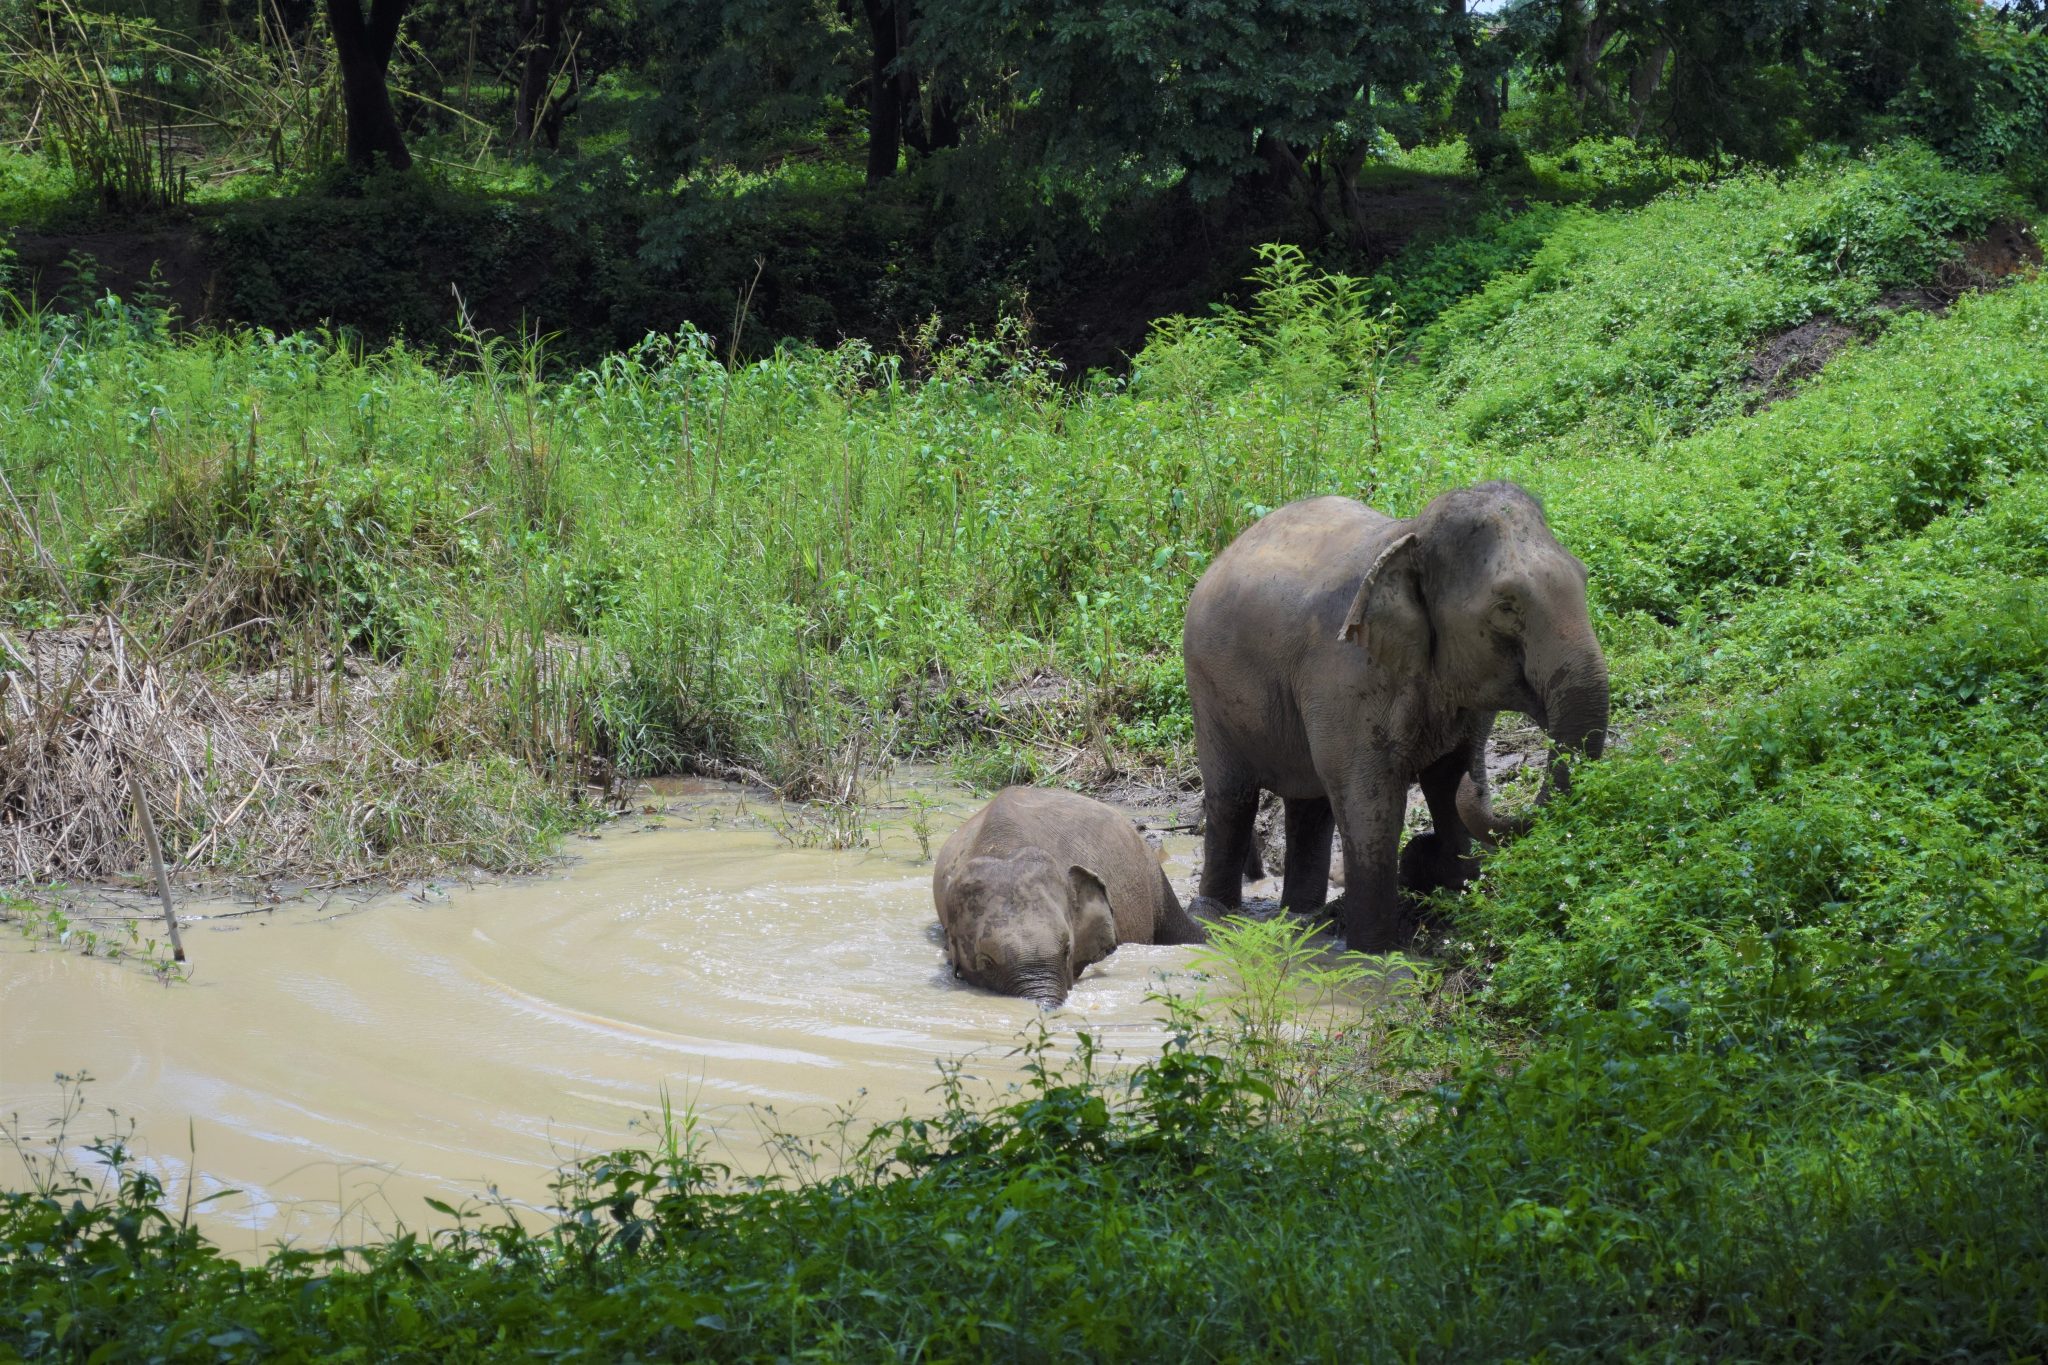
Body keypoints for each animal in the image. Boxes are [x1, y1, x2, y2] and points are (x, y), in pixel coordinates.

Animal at [1182, 481, 1609, 951]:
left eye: (1585, 578)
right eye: (1506, 606)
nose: (1421, 851)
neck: (1409, 535)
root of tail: (1226, 550)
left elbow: (1445, 780)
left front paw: (1452, 890)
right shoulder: (1345, 673)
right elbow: (1370, 797)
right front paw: (1373, 952)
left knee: (1311, 804)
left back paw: (1301, 917)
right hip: (1209, 689)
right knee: (1233, 797)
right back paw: (1215, 917)